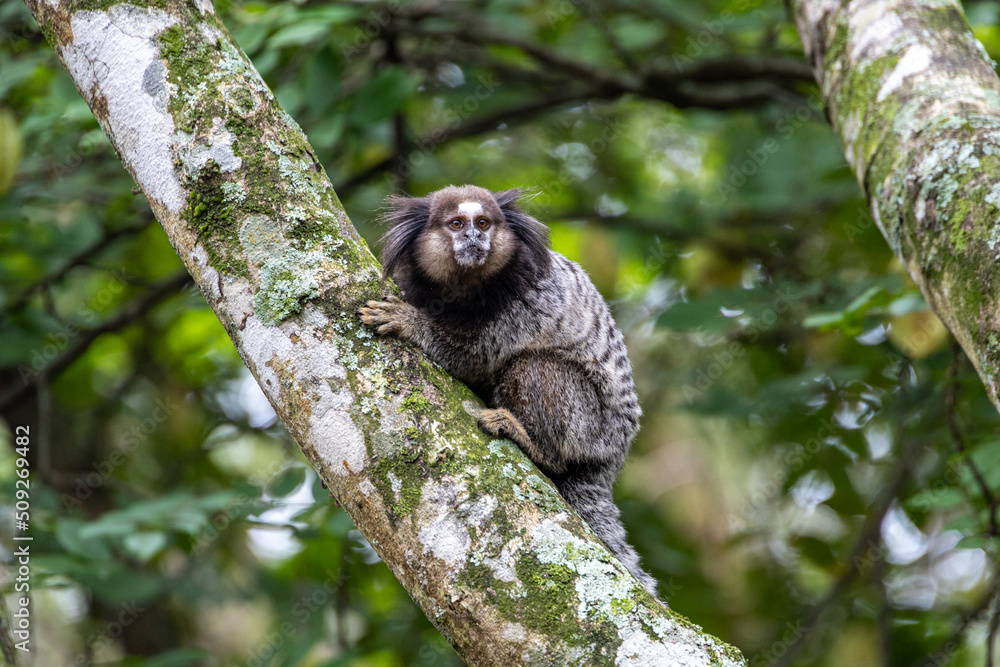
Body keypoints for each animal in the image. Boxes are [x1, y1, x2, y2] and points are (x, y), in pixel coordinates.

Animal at [358, 184, 657, 595]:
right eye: (456, 224)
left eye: (483, 223)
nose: (473, 237)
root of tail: (614, 455)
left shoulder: (526, 300)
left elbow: (472, 357)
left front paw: (409, 322)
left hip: (593, 430)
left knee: (533, 369)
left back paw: (529, 440)